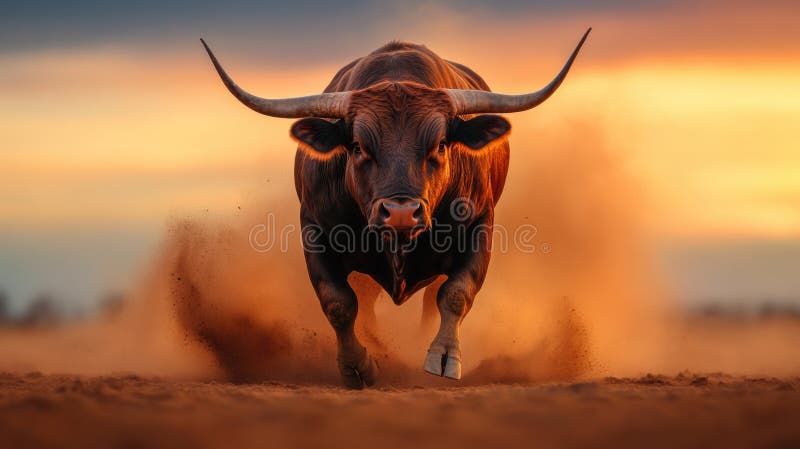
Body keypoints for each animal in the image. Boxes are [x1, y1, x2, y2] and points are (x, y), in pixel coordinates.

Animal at [201, 29, 590, 388]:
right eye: (358, 146)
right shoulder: (314, 230)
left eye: (441, 144)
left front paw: (444, 358)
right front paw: (357, 366)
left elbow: (456, 294)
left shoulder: (480, 226)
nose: (401, 213)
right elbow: (338, 302)